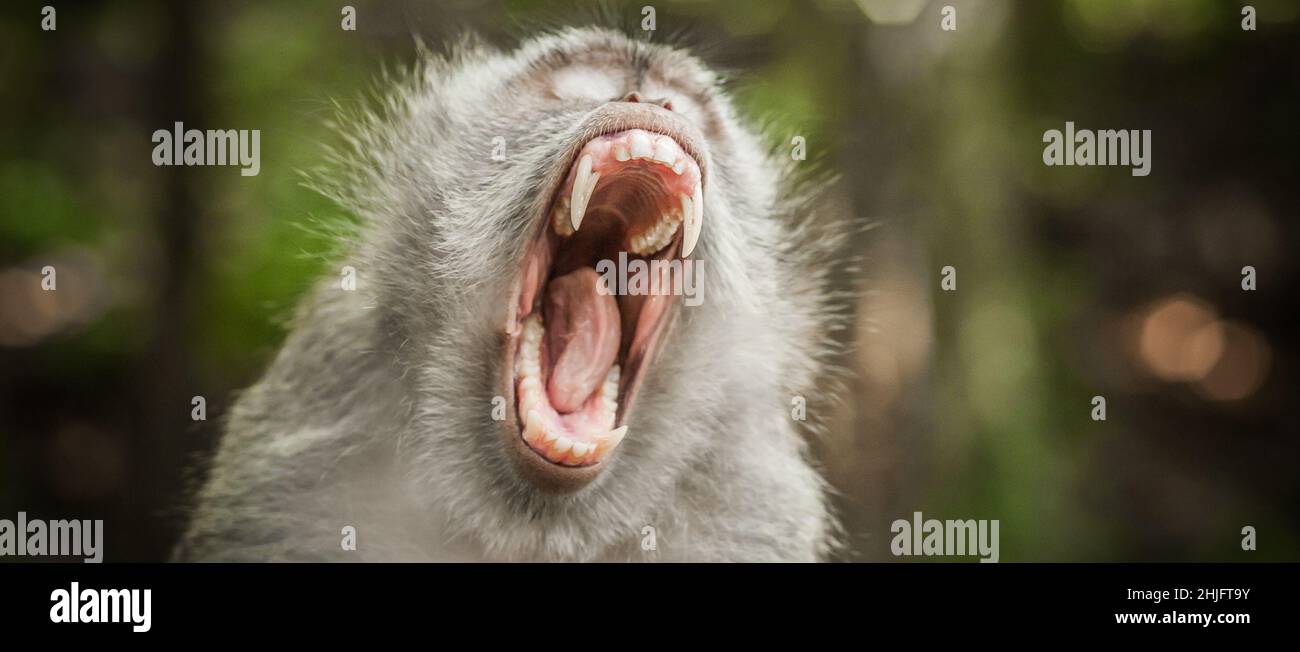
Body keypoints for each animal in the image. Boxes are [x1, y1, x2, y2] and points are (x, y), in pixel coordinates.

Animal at [176, 26, 853, 562]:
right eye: (573, 88)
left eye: (688, 105)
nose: (652, 101)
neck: (530, 525)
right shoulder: (299, 441)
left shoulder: (754, 504)